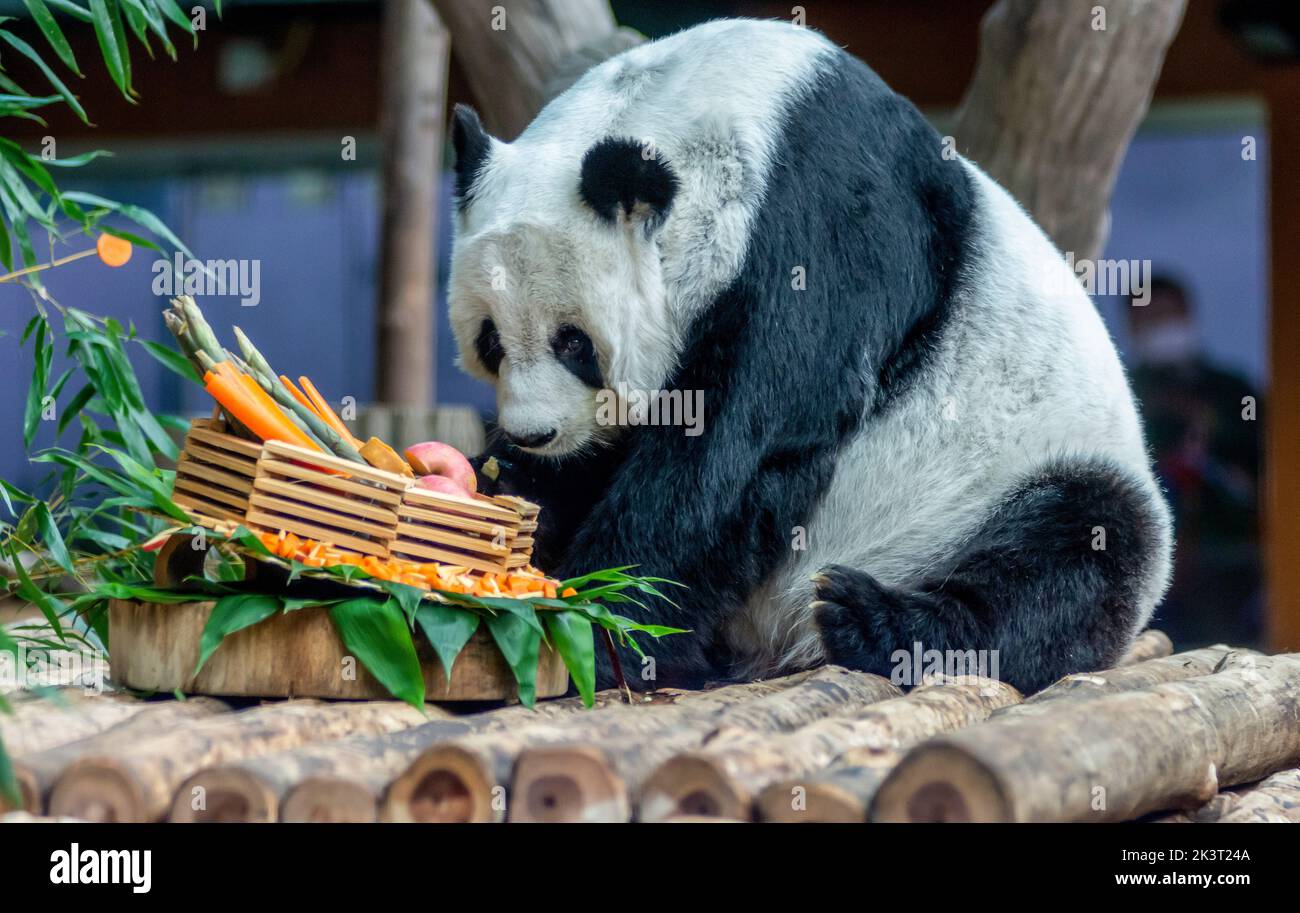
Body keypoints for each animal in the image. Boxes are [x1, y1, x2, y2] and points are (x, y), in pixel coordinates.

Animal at [446, 18, 1173, 695]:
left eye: (574, 341)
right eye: (490, 340)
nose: (534, 434)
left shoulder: (824, 225)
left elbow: (739, 453)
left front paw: (600, 622)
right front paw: (510, 483)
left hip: (1012, 477)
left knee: (1077, 550)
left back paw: (871, 620)